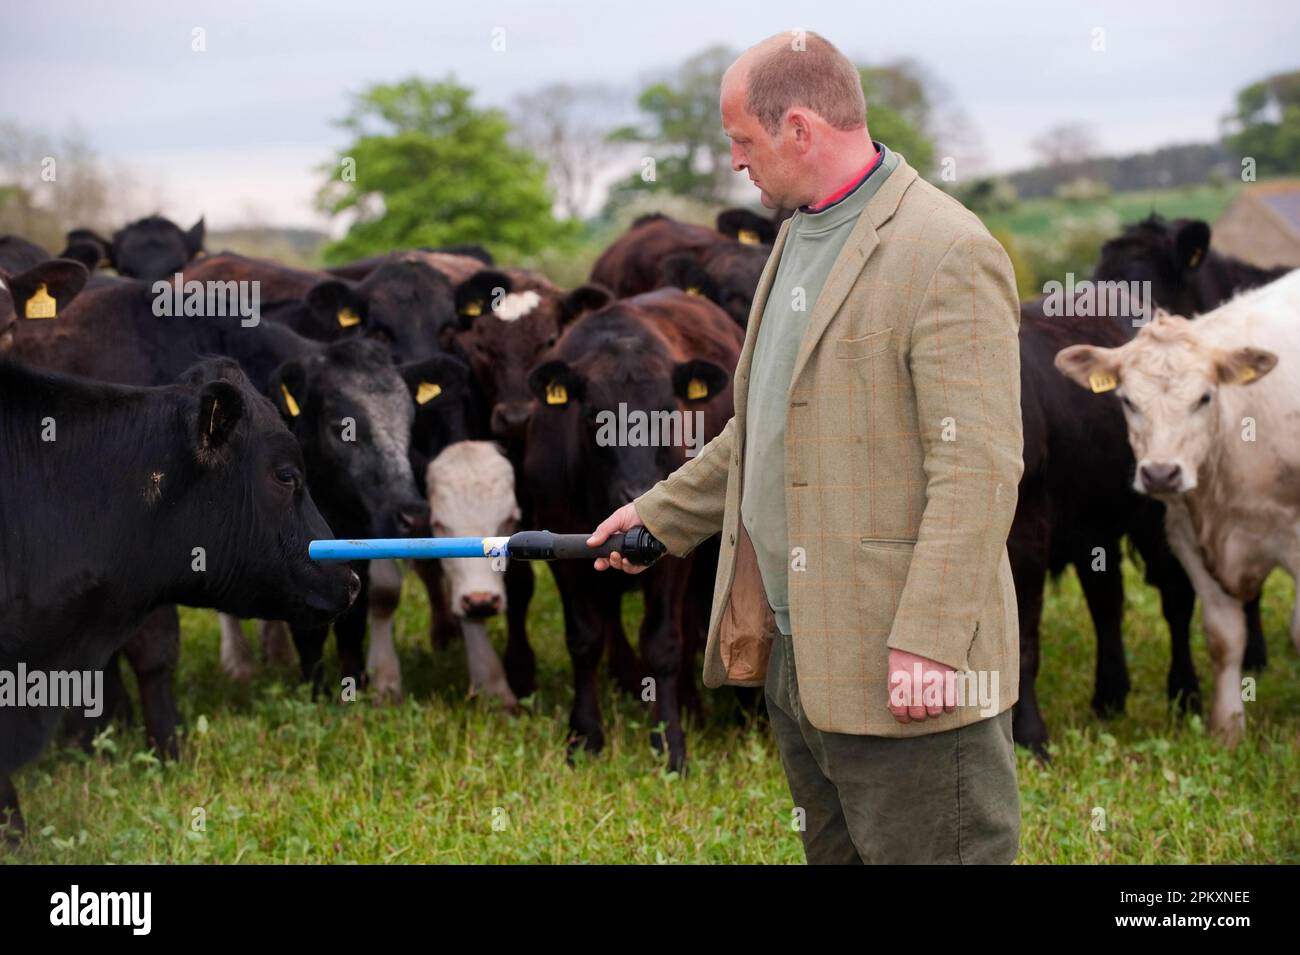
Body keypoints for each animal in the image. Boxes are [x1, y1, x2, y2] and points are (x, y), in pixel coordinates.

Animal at [523, 287, 740, 770]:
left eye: (668, 411)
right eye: (592, 414)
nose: (637, 493)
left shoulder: (673, 560)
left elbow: (663, 644)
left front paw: (670, 742)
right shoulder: (563, 555)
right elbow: (584, 639)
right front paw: (584, 734)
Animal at [1009, 216, 1291, 756]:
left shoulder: (1028, 534)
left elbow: (1025, 643)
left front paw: (1030, 740)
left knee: (1172, 601)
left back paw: (1183, 695)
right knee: (1107, 599)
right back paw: (1110, 696)